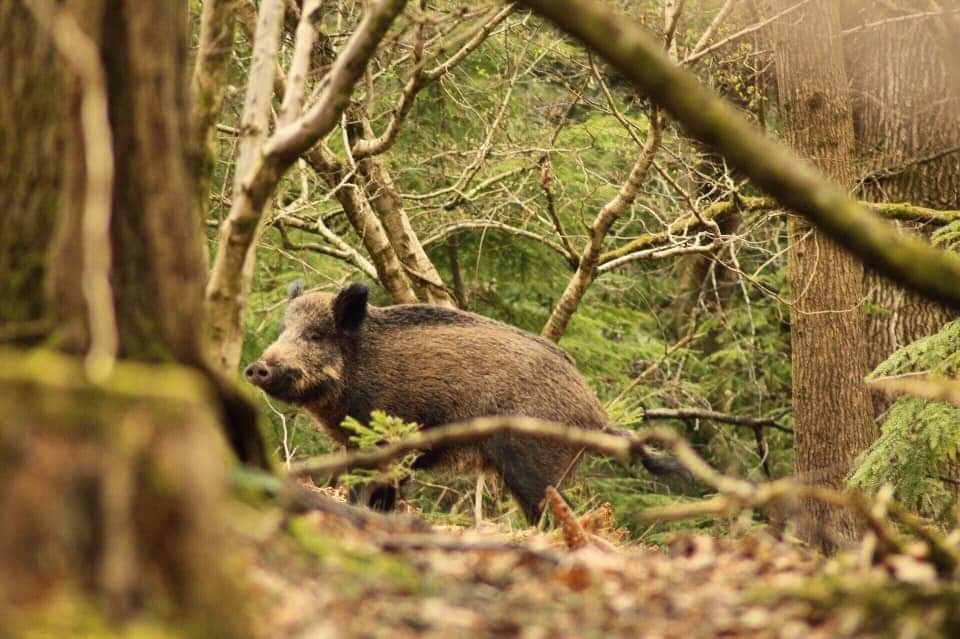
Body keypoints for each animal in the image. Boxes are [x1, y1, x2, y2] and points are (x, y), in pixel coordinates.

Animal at [246, 282, 663, 523]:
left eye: (316, 335)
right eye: (284, 330)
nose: (256, 368)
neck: (358, 368)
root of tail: (596, 413)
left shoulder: (389, 443)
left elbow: (370, 494)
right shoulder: (355, 444)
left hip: (535, 463)